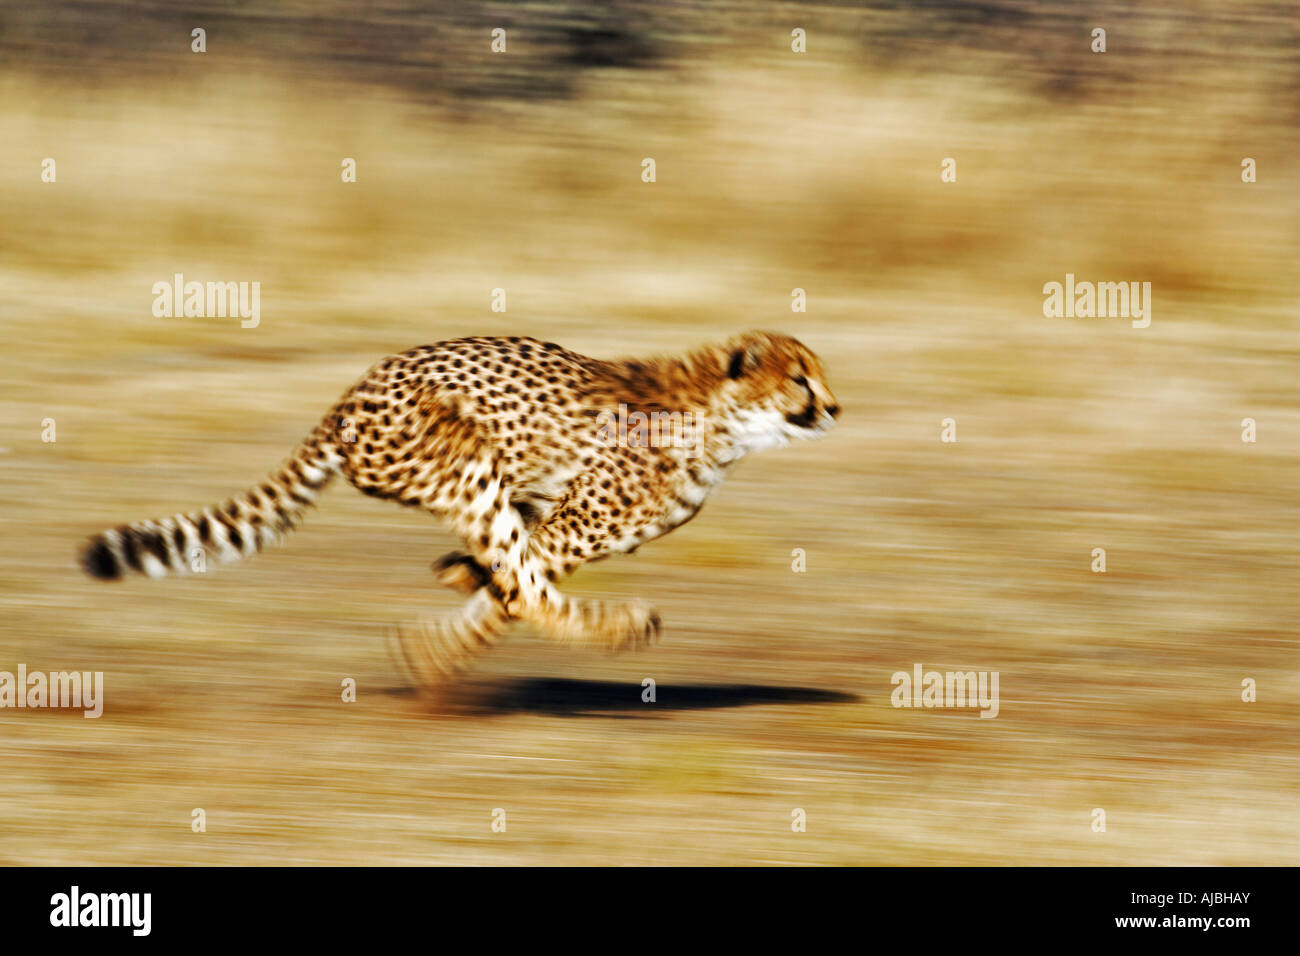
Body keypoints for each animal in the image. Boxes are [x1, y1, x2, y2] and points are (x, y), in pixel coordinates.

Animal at [78, 330, 840, 686]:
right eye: (800, 379)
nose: (835, 408)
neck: (720, 419)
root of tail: (355, 388)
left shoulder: (550, 518)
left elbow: (504, 581)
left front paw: (450, 598)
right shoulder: (568, 526)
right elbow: (517, 591)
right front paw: (435, 651)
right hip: (464, 455)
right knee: (520, 580)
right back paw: (621, 625)